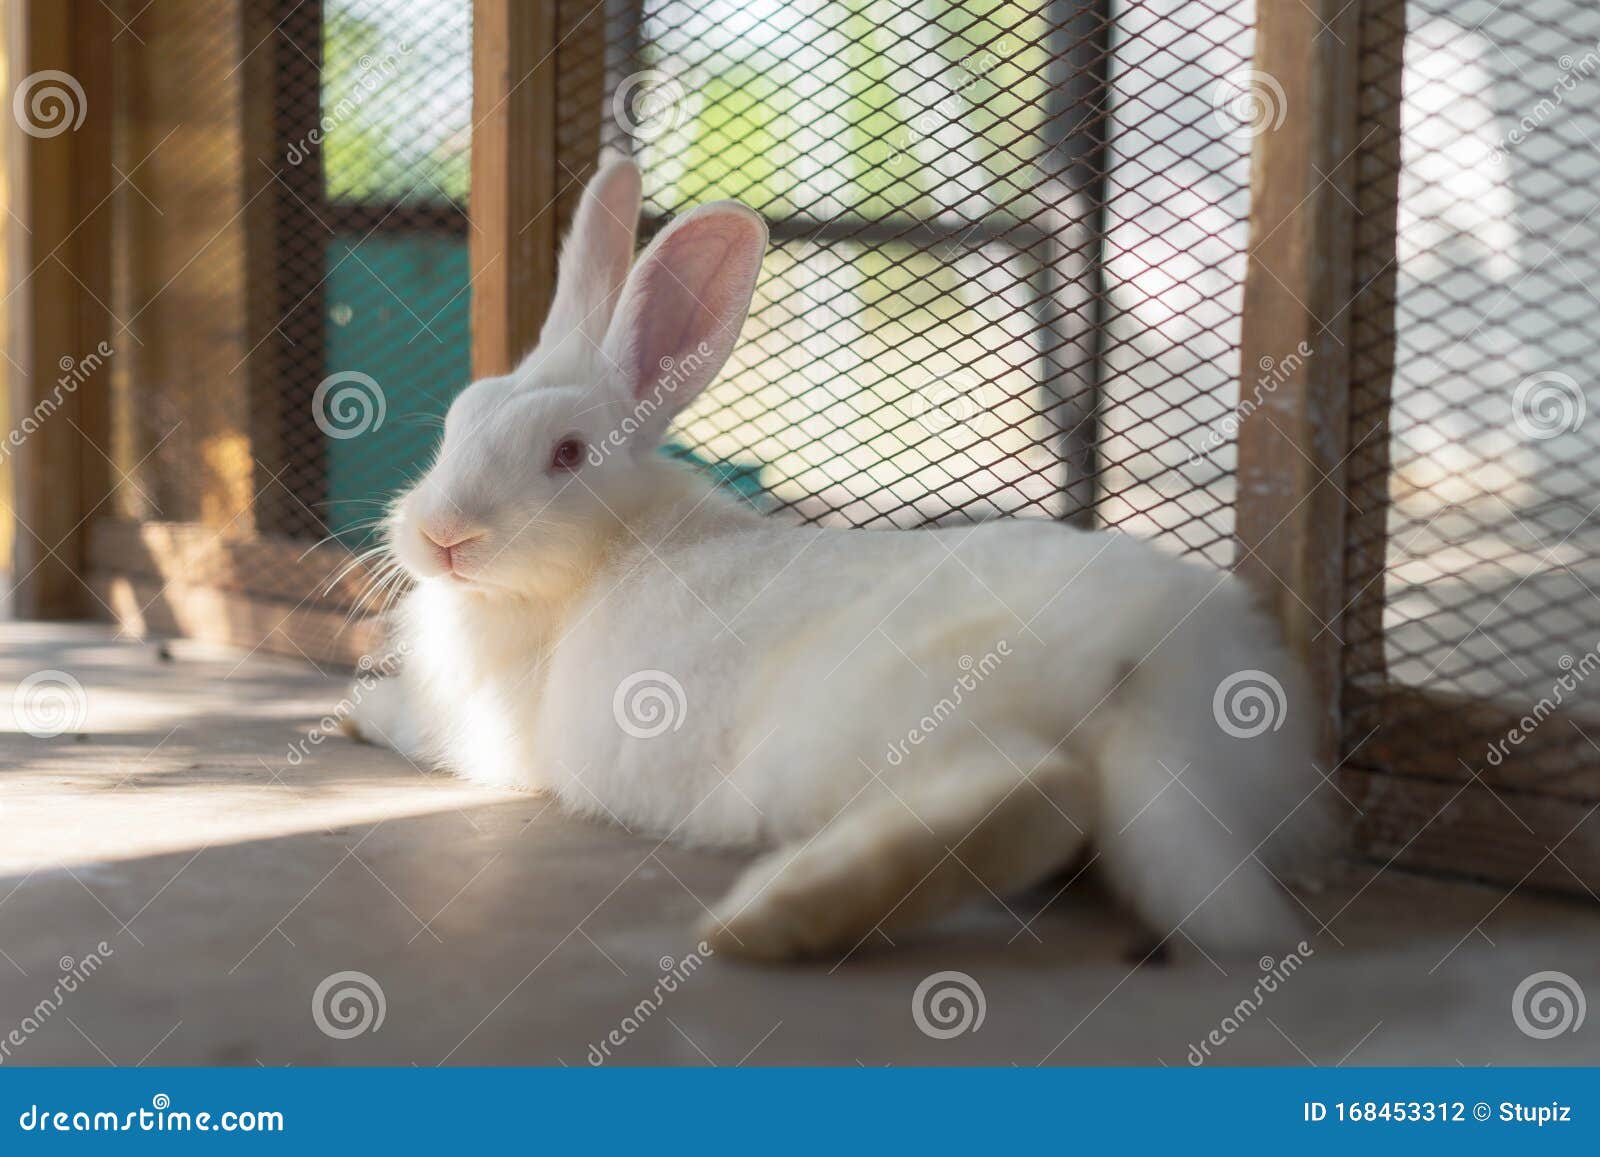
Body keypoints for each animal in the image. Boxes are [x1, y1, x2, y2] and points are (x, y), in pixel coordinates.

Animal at [342, 158, 1333, 962]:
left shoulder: (474, 730)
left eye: (567, 454)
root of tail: (1151, 672)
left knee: (1024, 797)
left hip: (865, 735)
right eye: (458, 419)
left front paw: (356, 710)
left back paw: (772, 921)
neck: (597, 552)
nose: (440, 534)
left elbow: (412, 727)